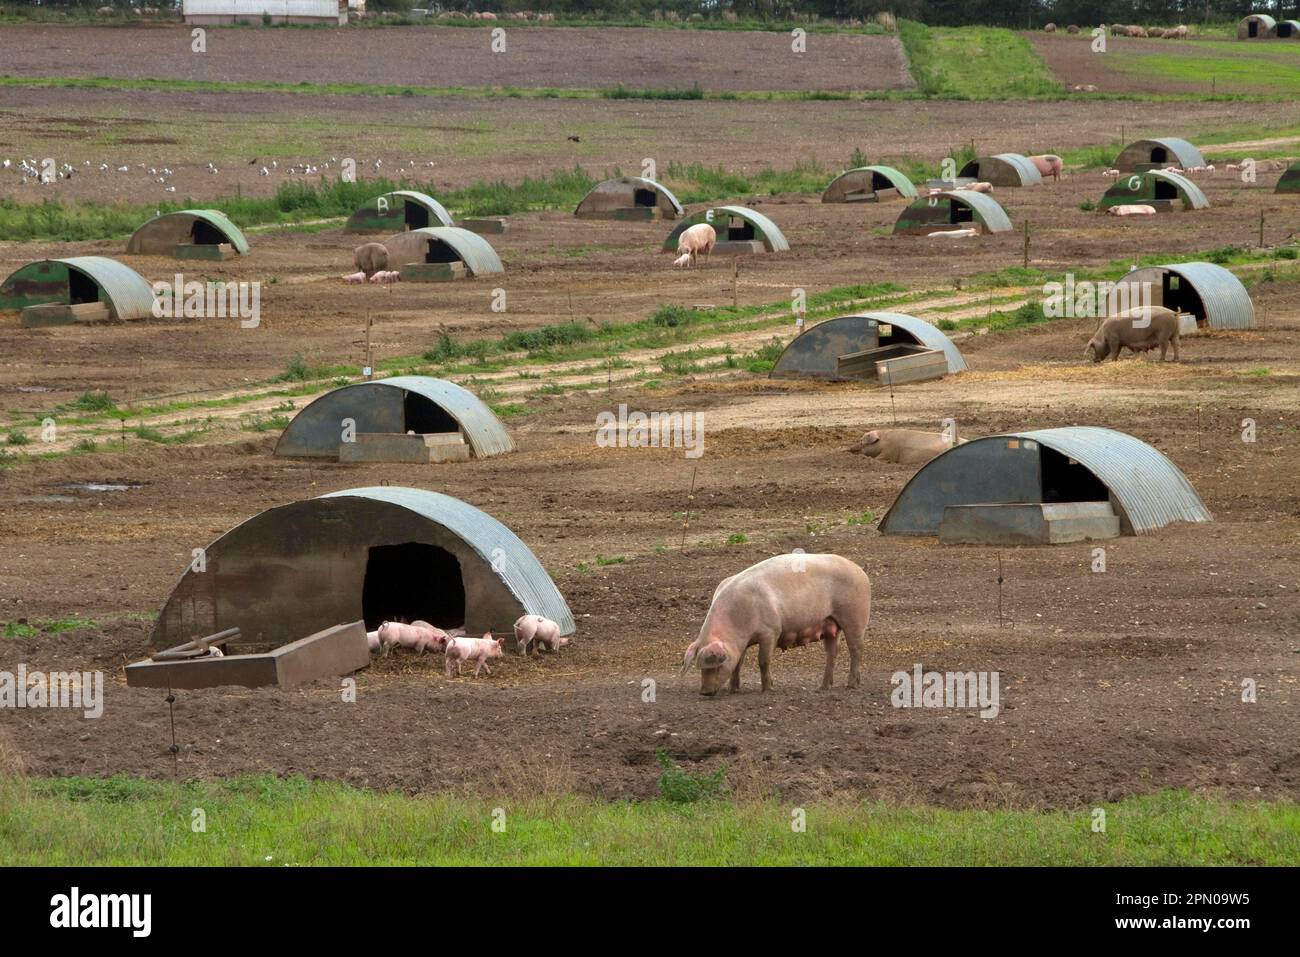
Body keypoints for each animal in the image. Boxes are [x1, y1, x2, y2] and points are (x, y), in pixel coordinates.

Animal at [680, 553, 871, 695]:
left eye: (715, 666)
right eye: (700, 668)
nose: (704, 692)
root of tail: (860, 571)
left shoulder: (771, 631)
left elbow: (763, 660)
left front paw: (768, 689)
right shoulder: (741, 643)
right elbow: (738, 663)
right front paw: (733, 690)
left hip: (855, 615)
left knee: (856, 649)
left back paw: (851, 686)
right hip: (830, 624)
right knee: (832, 652)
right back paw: (823, 687)